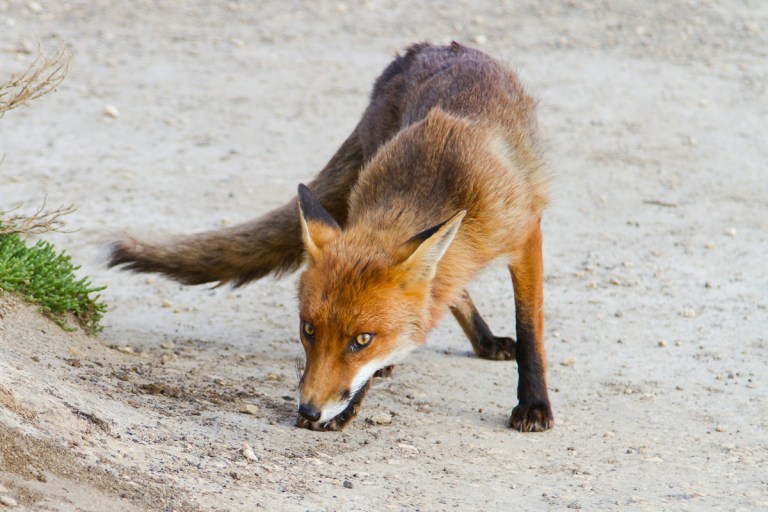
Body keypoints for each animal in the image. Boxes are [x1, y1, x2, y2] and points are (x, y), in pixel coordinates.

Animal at [108, 41, 553, 432]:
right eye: (308, 329)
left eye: (362, 339)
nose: (308, 409)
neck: (437, 181)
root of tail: (426, 47)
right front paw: (348, 406)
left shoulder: (526, 232)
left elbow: (530, 326)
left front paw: (533, 404)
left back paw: (484, 342)